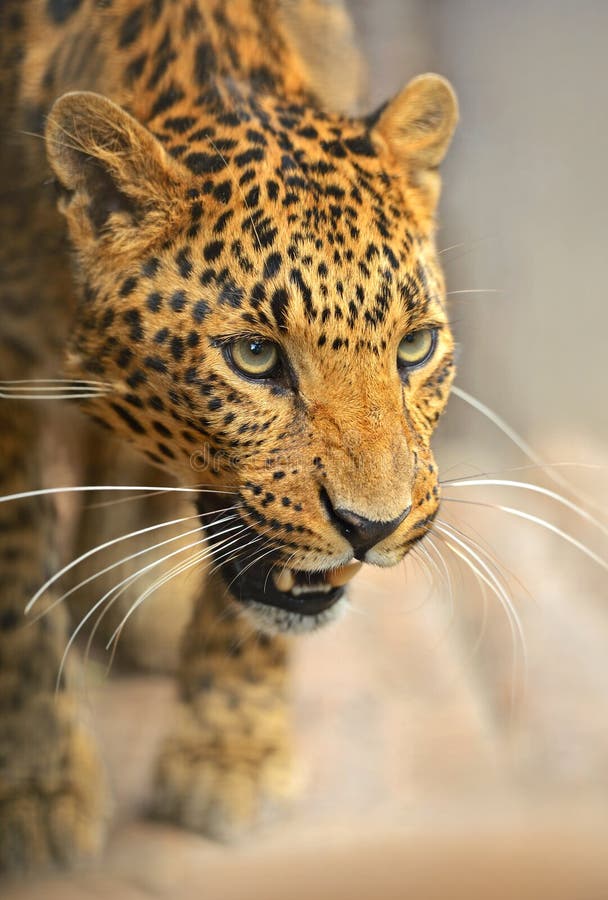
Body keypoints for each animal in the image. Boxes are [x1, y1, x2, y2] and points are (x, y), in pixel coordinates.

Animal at [0, 0, 457, 874]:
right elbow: (13, 578)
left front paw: (231, 756)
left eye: (415, 347)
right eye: (254, 356)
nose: (372, 527)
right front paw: (37, 789)